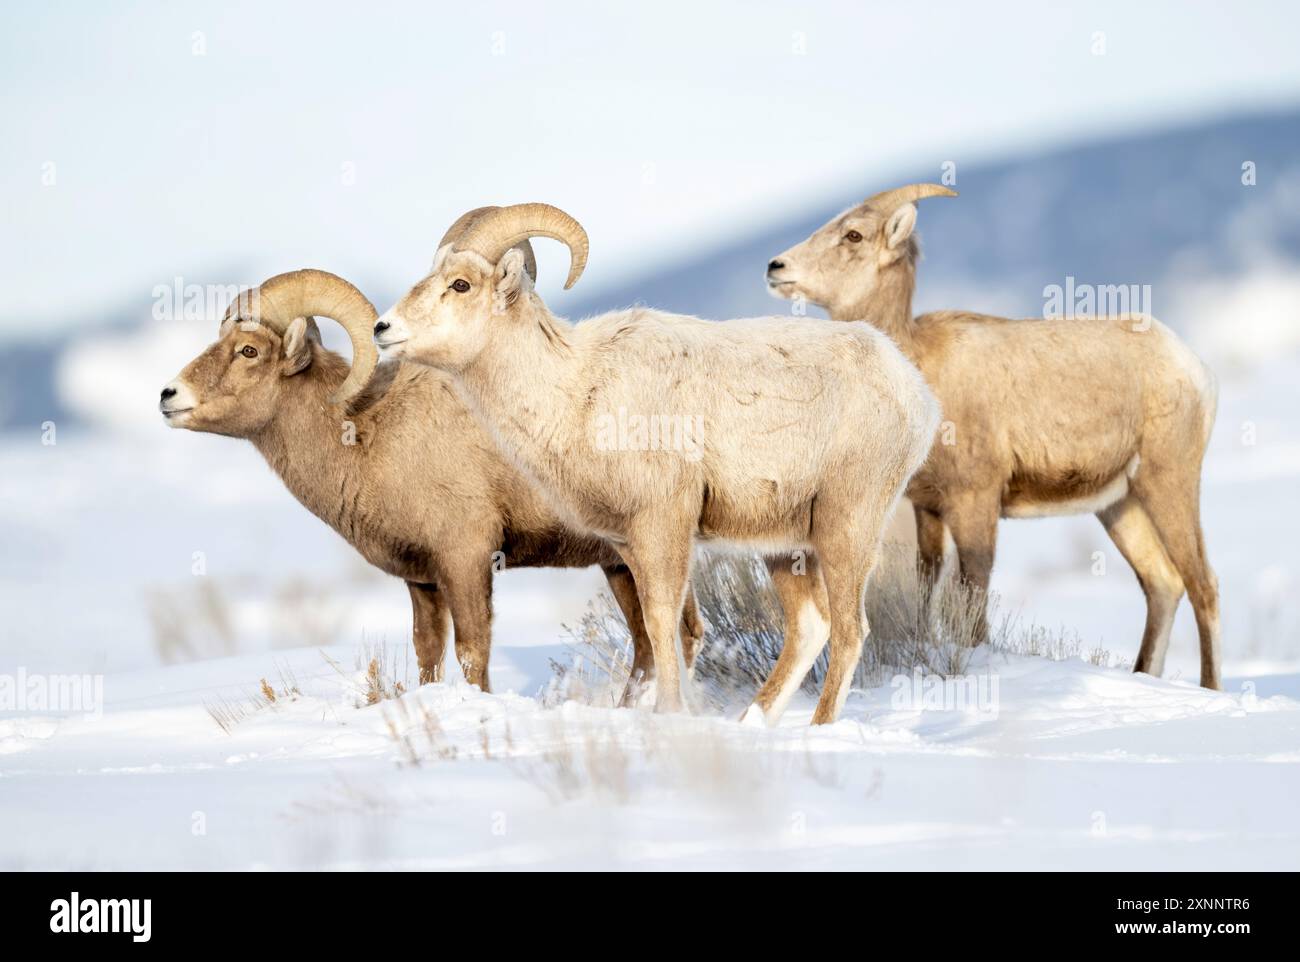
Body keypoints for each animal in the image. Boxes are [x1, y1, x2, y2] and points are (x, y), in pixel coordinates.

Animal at [159, 264, 704, 698]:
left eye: (249, 351)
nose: (169, 396)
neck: (368, 433)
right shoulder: (421, 580)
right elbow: (429, 654)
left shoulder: (465, 559)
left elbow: (472, 652)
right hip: (620, 564)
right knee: (660, 642)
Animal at [374, 203, 941, 725]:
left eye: (461, 284)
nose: (383, 328)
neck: (576, 389)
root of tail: (911, 386)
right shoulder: (628, 547)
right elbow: (652, 632)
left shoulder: (662, 527)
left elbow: (663, 626)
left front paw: (671, 715)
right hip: (784, 545)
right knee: (810, 627)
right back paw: (751, 723)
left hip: (846, 526)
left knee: (849, 631)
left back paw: (819, 727)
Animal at [766, 183, 1222, 689]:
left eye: (854, 234)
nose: (776, 267)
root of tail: (1190, 364)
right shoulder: (928, 509)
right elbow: (928, 585)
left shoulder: (975, 502)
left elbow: (974, 592)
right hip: (1118, 505)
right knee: (1162, 582)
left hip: (1168, 482)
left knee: (1202, 584)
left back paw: (1211, 686)